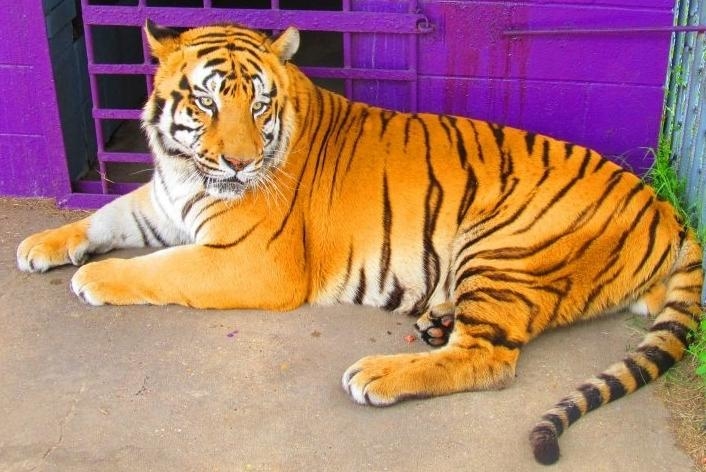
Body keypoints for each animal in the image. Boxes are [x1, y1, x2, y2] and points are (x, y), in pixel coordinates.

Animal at [16, 21, 703, 464]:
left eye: (258, 105)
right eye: (207, 102)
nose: (240, 163)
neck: (188, 171)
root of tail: (666, 208)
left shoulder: (256, 261)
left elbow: (162, 266)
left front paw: (93, 278)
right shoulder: (162, 200)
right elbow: (103, 218)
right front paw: (40, 244)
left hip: (504, 248)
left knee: (491, 359)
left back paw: (378, 372)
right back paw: (434, 321)